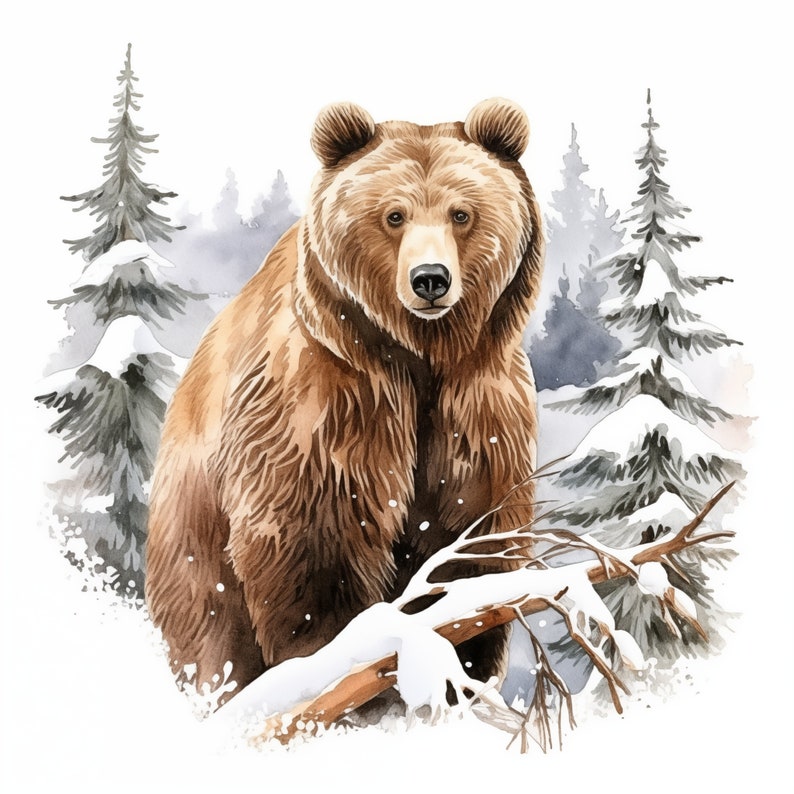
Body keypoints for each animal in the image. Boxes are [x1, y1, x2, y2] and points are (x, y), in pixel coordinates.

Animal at [145, 98, 544, 708]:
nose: (430, 279)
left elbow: (472, 525)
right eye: (394, 215)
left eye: (461, 213)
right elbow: (313, 536)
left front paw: (460, 652)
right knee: (211, 636)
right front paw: (338, 661)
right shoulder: (325, 396)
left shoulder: (477, 401)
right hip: (193, 543)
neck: (419, 355)